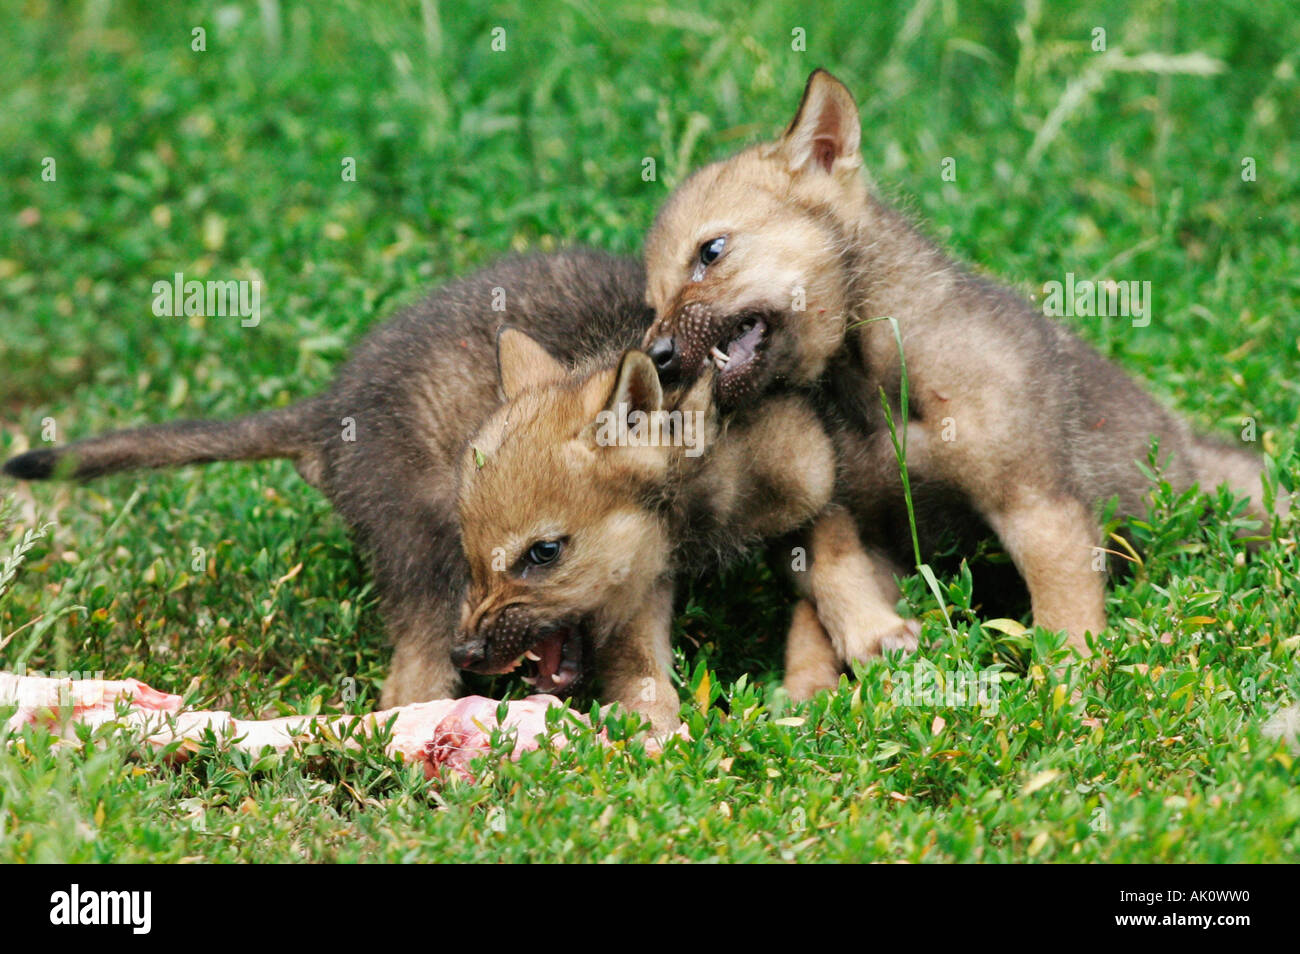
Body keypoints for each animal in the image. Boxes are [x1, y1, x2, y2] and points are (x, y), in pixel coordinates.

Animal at [640, 69, 1277, 649]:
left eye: (711, 251)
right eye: (652, 300)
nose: (657, 356)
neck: (874, 390)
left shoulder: (1037, 505)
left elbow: (1065, 621)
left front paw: (1070, 690)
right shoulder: (834, 514)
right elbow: (834, 572)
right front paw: (873, 636)